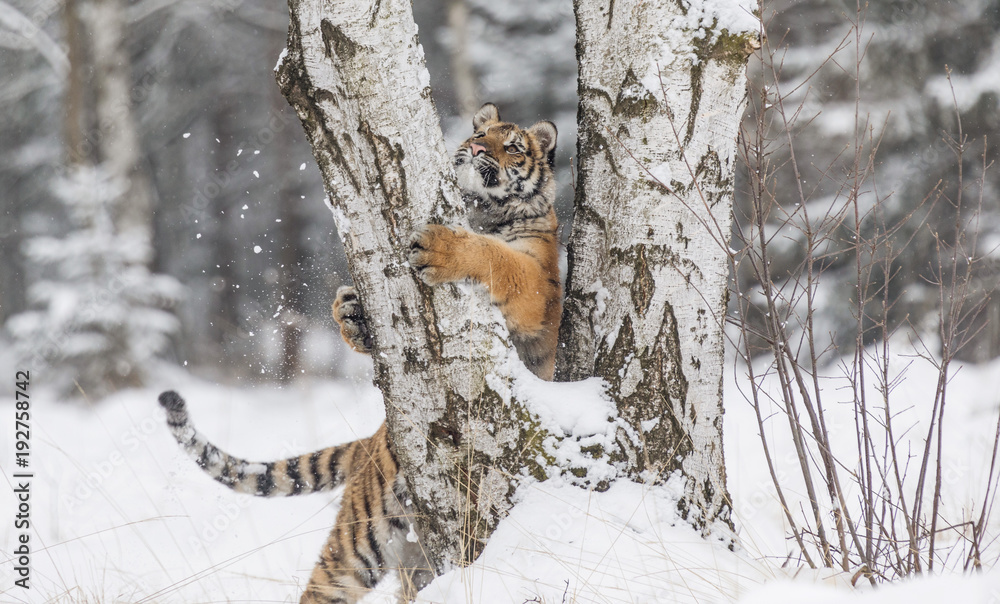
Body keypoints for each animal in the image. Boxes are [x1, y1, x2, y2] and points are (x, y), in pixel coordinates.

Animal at [160, 102, 561, 604]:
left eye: (511, 146)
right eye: (479, 133)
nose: (472, 149)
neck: (483, 212)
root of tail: (372, 443)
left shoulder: (539, 293)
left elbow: (498, 259)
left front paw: (444, 247)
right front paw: (351, 314)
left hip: (404, 556)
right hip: (361, 543)